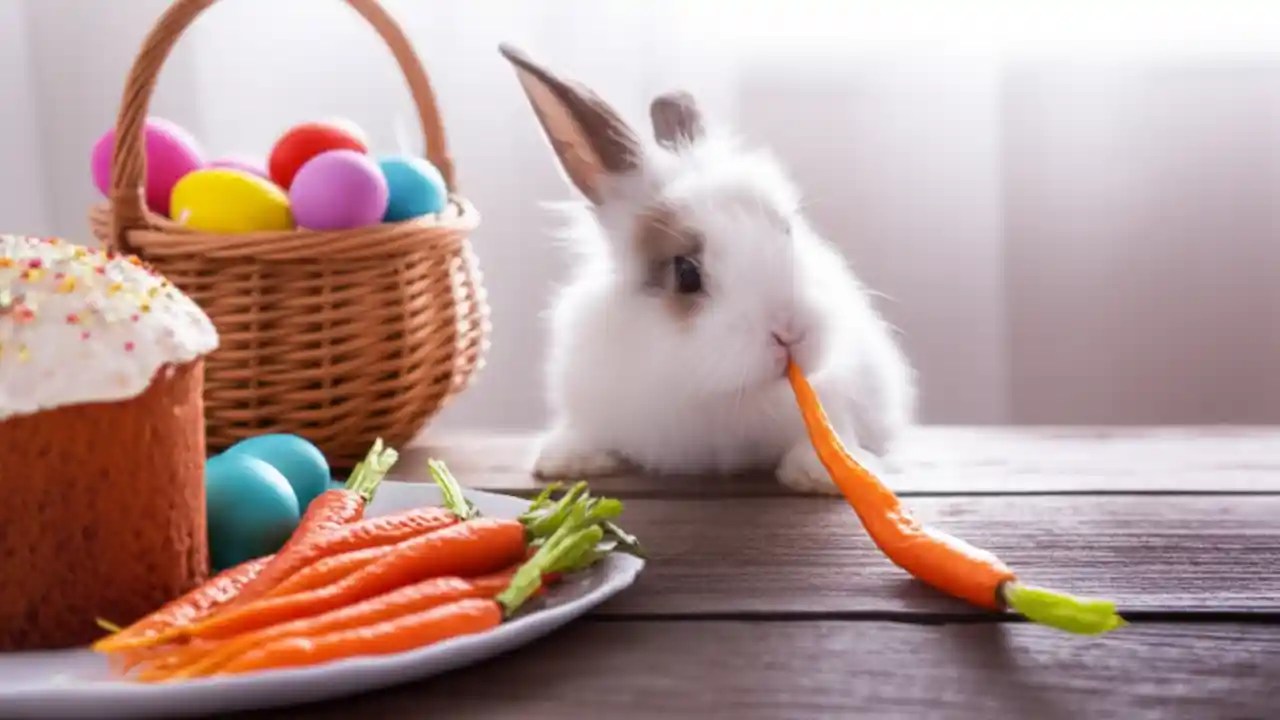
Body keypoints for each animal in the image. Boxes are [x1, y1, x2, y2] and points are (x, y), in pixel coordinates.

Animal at [499, 44, 917, 494]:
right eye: (686, 274)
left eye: (788, 229)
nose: (789, 331)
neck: (719, 392)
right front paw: (566, 460)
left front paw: (820, 472)